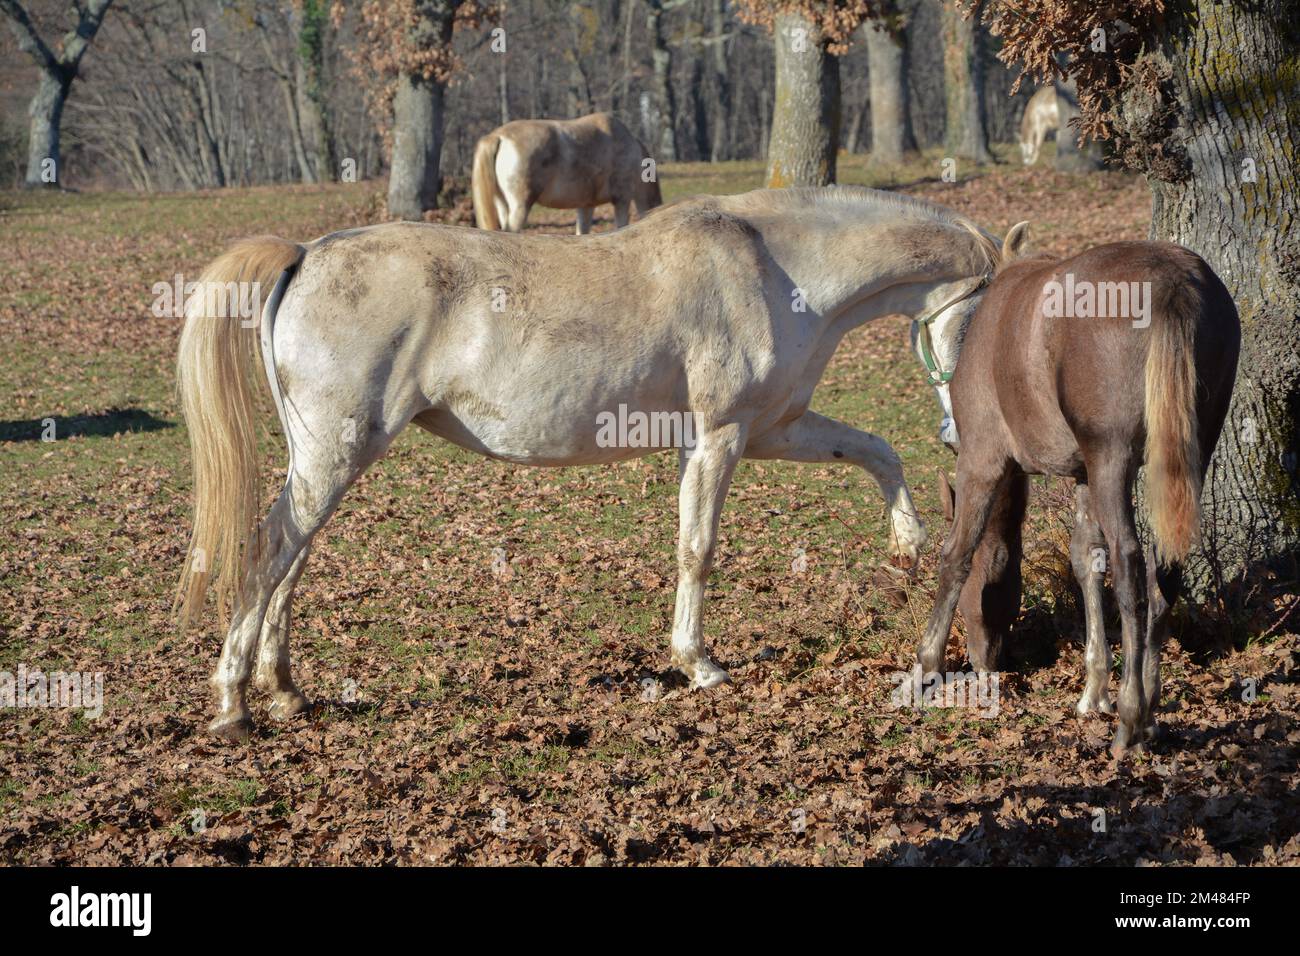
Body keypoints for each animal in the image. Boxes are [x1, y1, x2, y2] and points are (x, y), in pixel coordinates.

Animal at [175, 185, 1013, 742]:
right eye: (984, 317)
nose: (961, 430)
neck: (777, 269)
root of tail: (307, 254)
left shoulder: (772, 429)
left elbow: (874, 450)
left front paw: (904, 545)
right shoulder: (722, 435)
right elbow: (698, 550)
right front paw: (699, 664)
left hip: (327, 457)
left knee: (290, 558)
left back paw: (283, 690)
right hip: (338, 452)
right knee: (271, 550)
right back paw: (233, 703)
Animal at [909, 235, 1240, 756]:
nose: (987, 661)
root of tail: (1172, 280)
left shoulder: (982, 460)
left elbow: (956, 555)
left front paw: (925, 666)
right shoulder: (1082, 473)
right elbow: (1087, 559)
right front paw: (1093, 690)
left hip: (1113, 459)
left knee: (1130, 564)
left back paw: (1131, 718)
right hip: (1189, 452)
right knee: (1163, 570)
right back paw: (1150, 710)